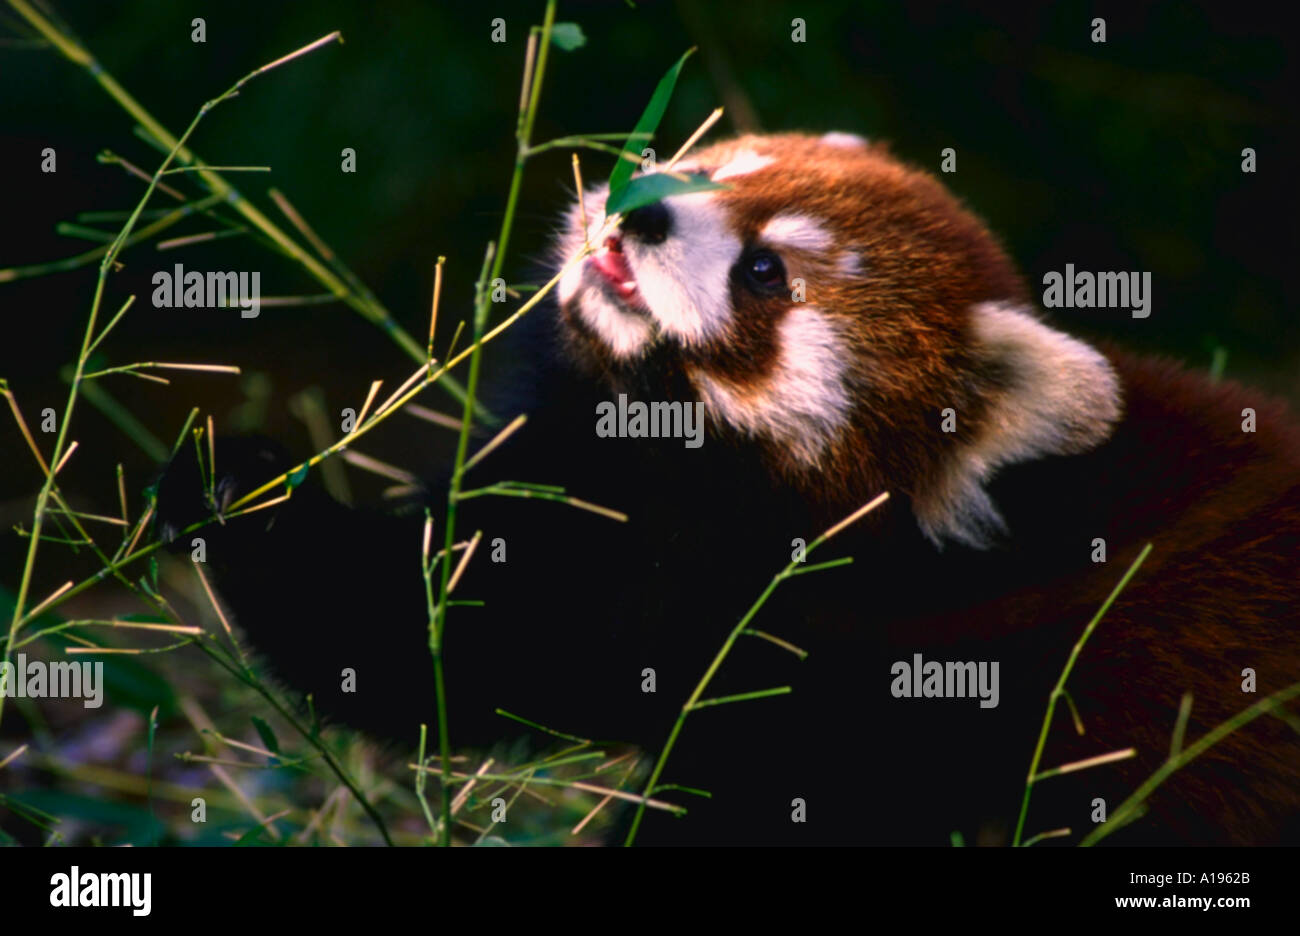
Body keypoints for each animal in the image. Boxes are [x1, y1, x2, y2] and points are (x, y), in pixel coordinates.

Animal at [158, 132, 1300, 846]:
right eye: (710, 166)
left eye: (764, 274)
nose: (644, 204)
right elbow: (429, 634)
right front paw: (228, 484)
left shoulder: (883, 681)